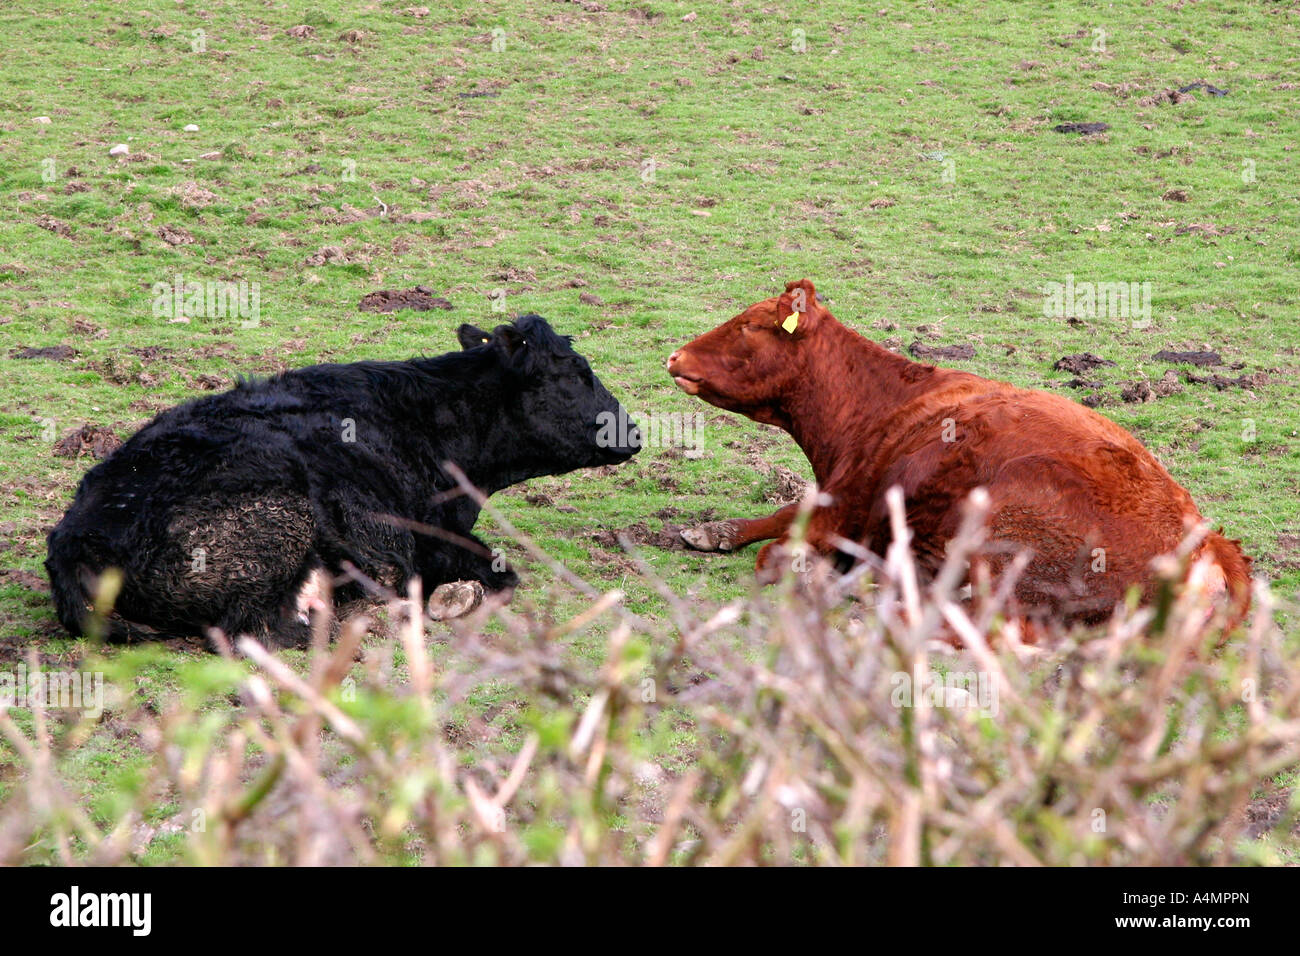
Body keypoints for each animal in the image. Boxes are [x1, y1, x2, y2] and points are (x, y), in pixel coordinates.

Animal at [46, 315, 640, 647]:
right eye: (574, 372)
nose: (632, 431)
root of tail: (75, 540)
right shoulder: (427, 538)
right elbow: (498, 570)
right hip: (278, 523)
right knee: (257, 631)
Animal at [666, 279, 1252, 634]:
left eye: (747, 324)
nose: (674, 356)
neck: (877, 408)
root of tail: (1211, 542)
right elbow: (784, 510)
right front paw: (713, 530)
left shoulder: (850, 505)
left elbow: (781, 542)